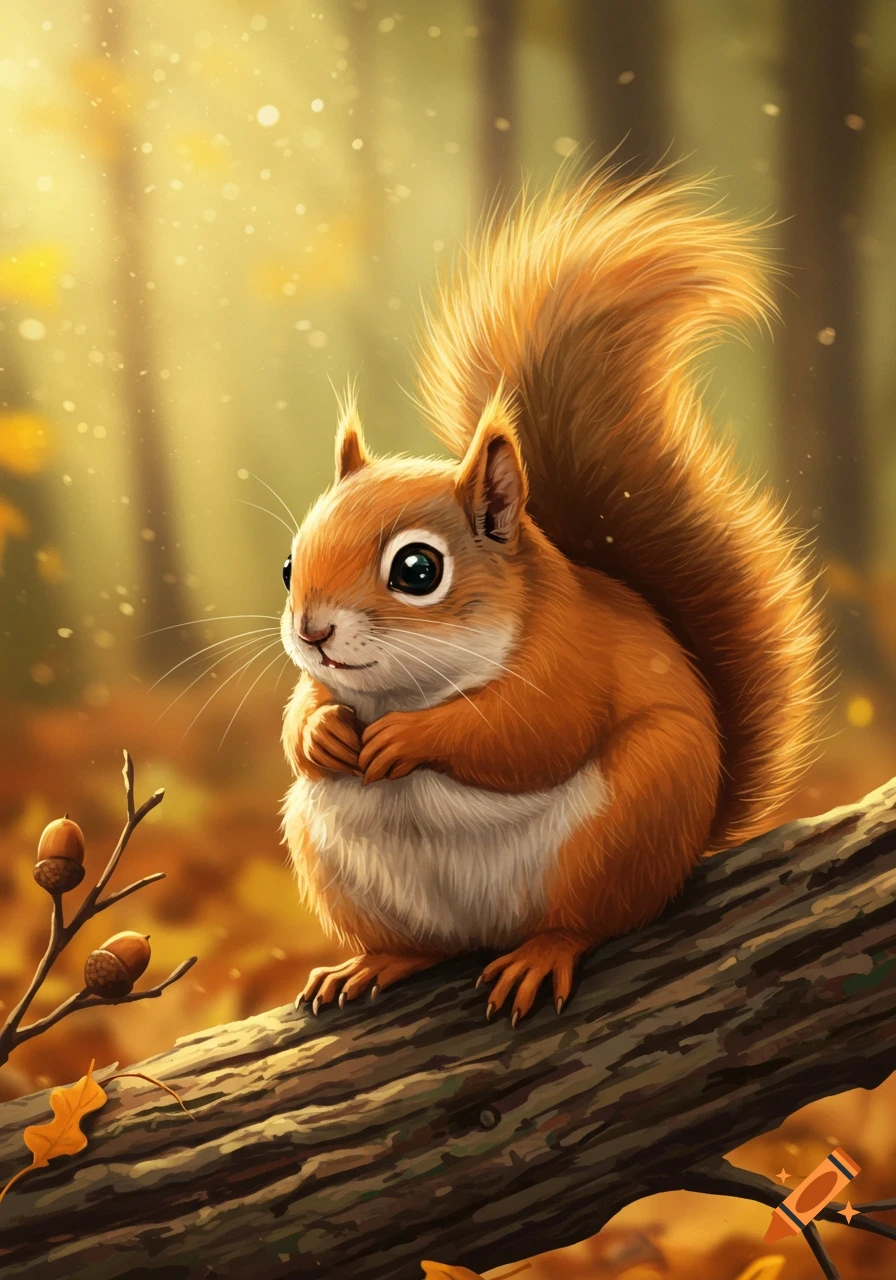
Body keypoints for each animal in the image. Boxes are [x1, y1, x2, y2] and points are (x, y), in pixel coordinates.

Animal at [280, 168, 824, 1026]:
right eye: (288, 565)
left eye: (417, 570)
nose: (311, 632)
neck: (405, 686)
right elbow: (296, 720)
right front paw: (322, 733)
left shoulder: (571, 661)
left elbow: (527, 733)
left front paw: (409, 739)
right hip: (335, 859)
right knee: (418, 944)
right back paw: (372, 963)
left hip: (628, 821)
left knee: (588, 919)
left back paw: (540, 955)